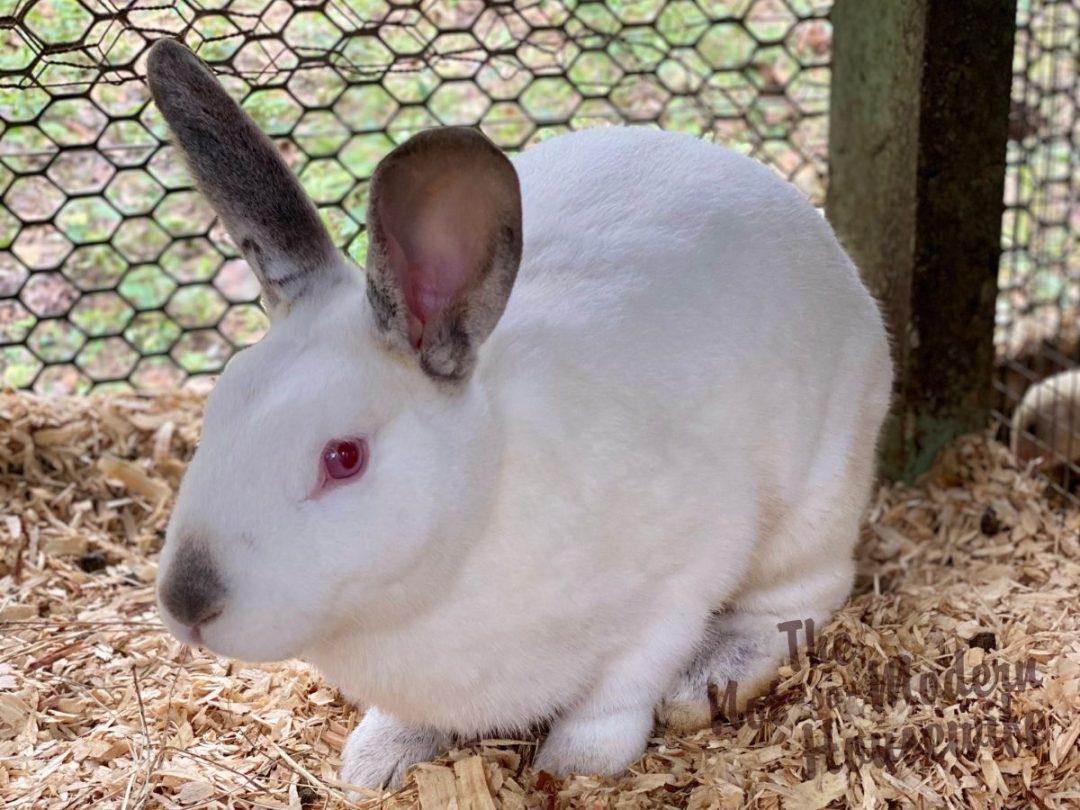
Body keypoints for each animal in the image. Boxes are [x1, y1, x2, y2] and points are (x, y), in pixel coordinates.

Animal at [148, 39, 893, 789]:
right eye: (218, 408)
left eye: (344, 457)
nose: (187, 603)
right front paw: (377, 762)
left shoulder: (683, 574)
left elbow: (619, 690)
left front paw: (577, 768)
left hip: (816, 503)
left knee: (804, 597)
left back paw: (714, 675)